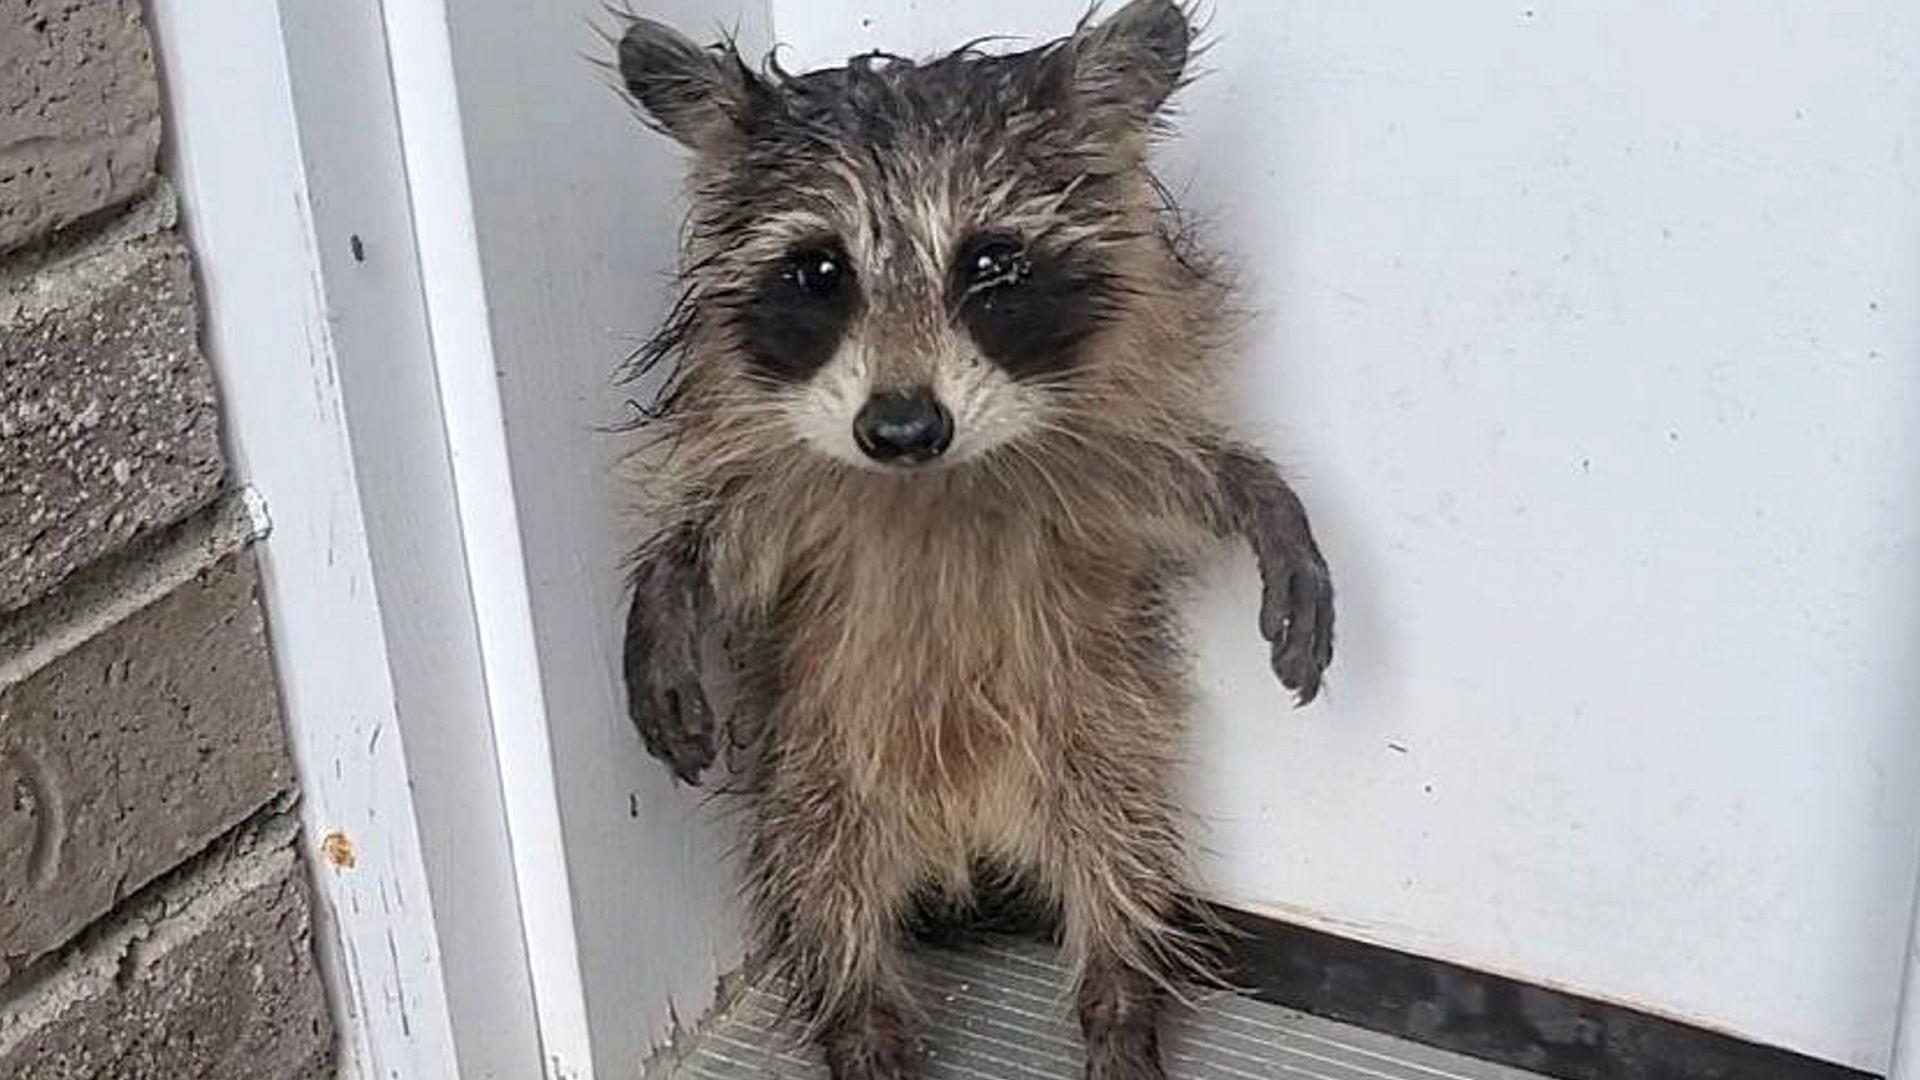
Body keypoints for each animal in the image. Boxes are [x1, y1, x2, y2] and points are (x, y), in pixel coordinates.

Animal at [614, 3, 1335, 1077]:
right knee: (820, 881)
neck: (935, 483)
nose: (903, 429)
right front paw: (662, 595)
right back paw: (863, 1022)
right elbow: (719, 536)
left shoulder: (1095, 465)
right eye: (819, 272)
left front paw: (1265, 499)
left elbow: (1183, 480)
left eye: (990, 265)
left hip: (1093, 723)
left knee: (1121, 851)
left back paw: (1120, 999)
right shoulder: (787, 487)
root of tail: (965, 836)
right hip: (820, 757)